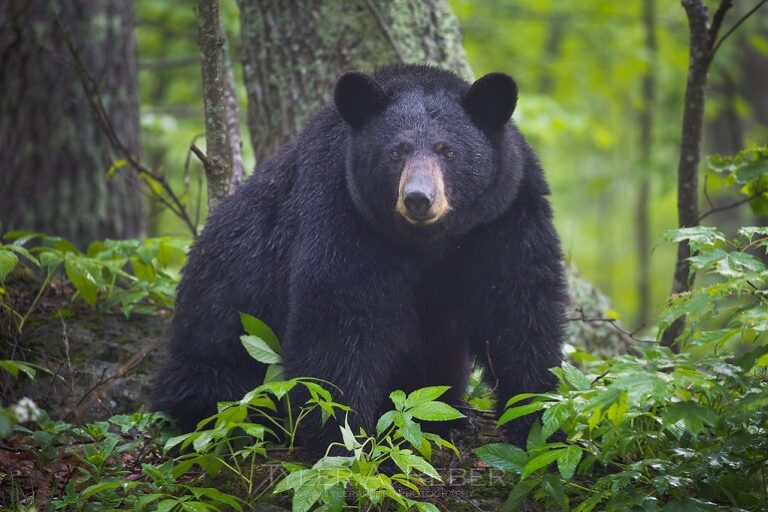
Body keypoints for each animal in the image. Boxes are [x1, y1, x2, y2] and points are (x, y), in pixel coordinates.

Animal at [152, 64, 566, 456]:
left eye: (448, 151)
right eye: (396, 151)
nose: (419, 198)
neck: (429, 241)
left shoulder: (504, 214)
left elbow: (520, 309)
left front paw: (539, 425)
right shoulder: (342, 211)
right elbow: (342, 320)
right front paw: (345, 438)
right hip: (221, 333)